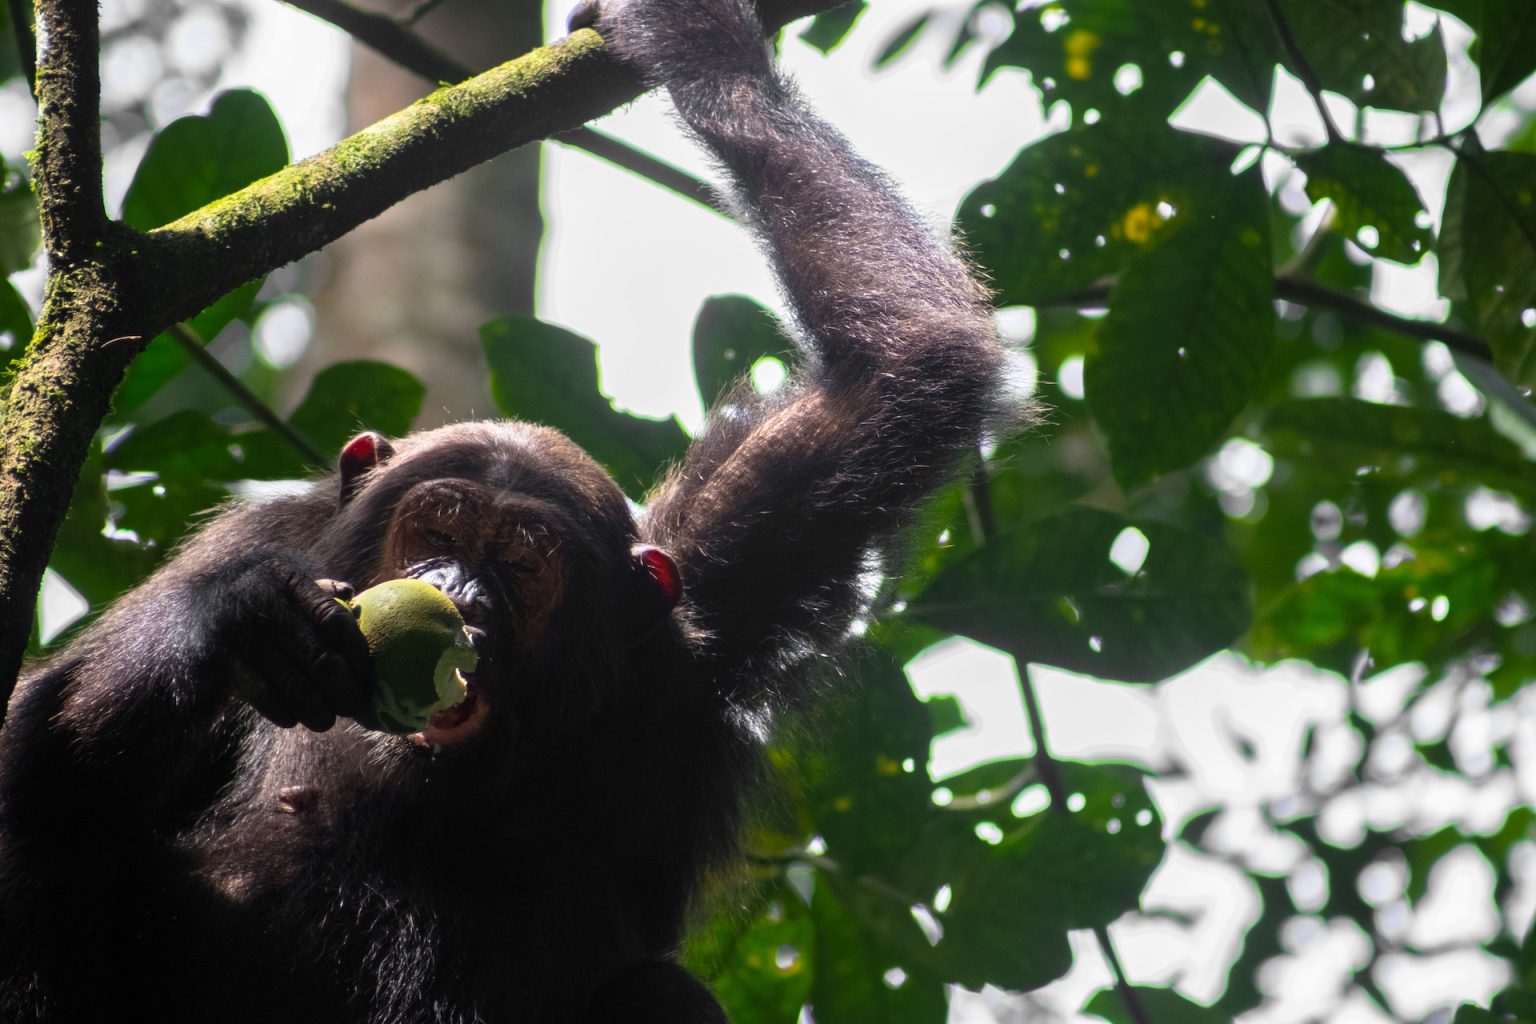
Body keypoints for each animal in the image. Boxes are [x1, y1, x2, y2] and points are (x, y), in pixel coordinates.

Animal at [0, 0, 1010, 1020]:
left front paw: (696, 37)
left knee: (661, 991)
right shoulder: (259, 539)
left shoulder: (725, 591)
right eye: (439, 528)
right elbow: (33, 750)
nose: (459, 591)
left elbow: (901, 368)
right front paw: (240, 618)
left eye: (524, 559)